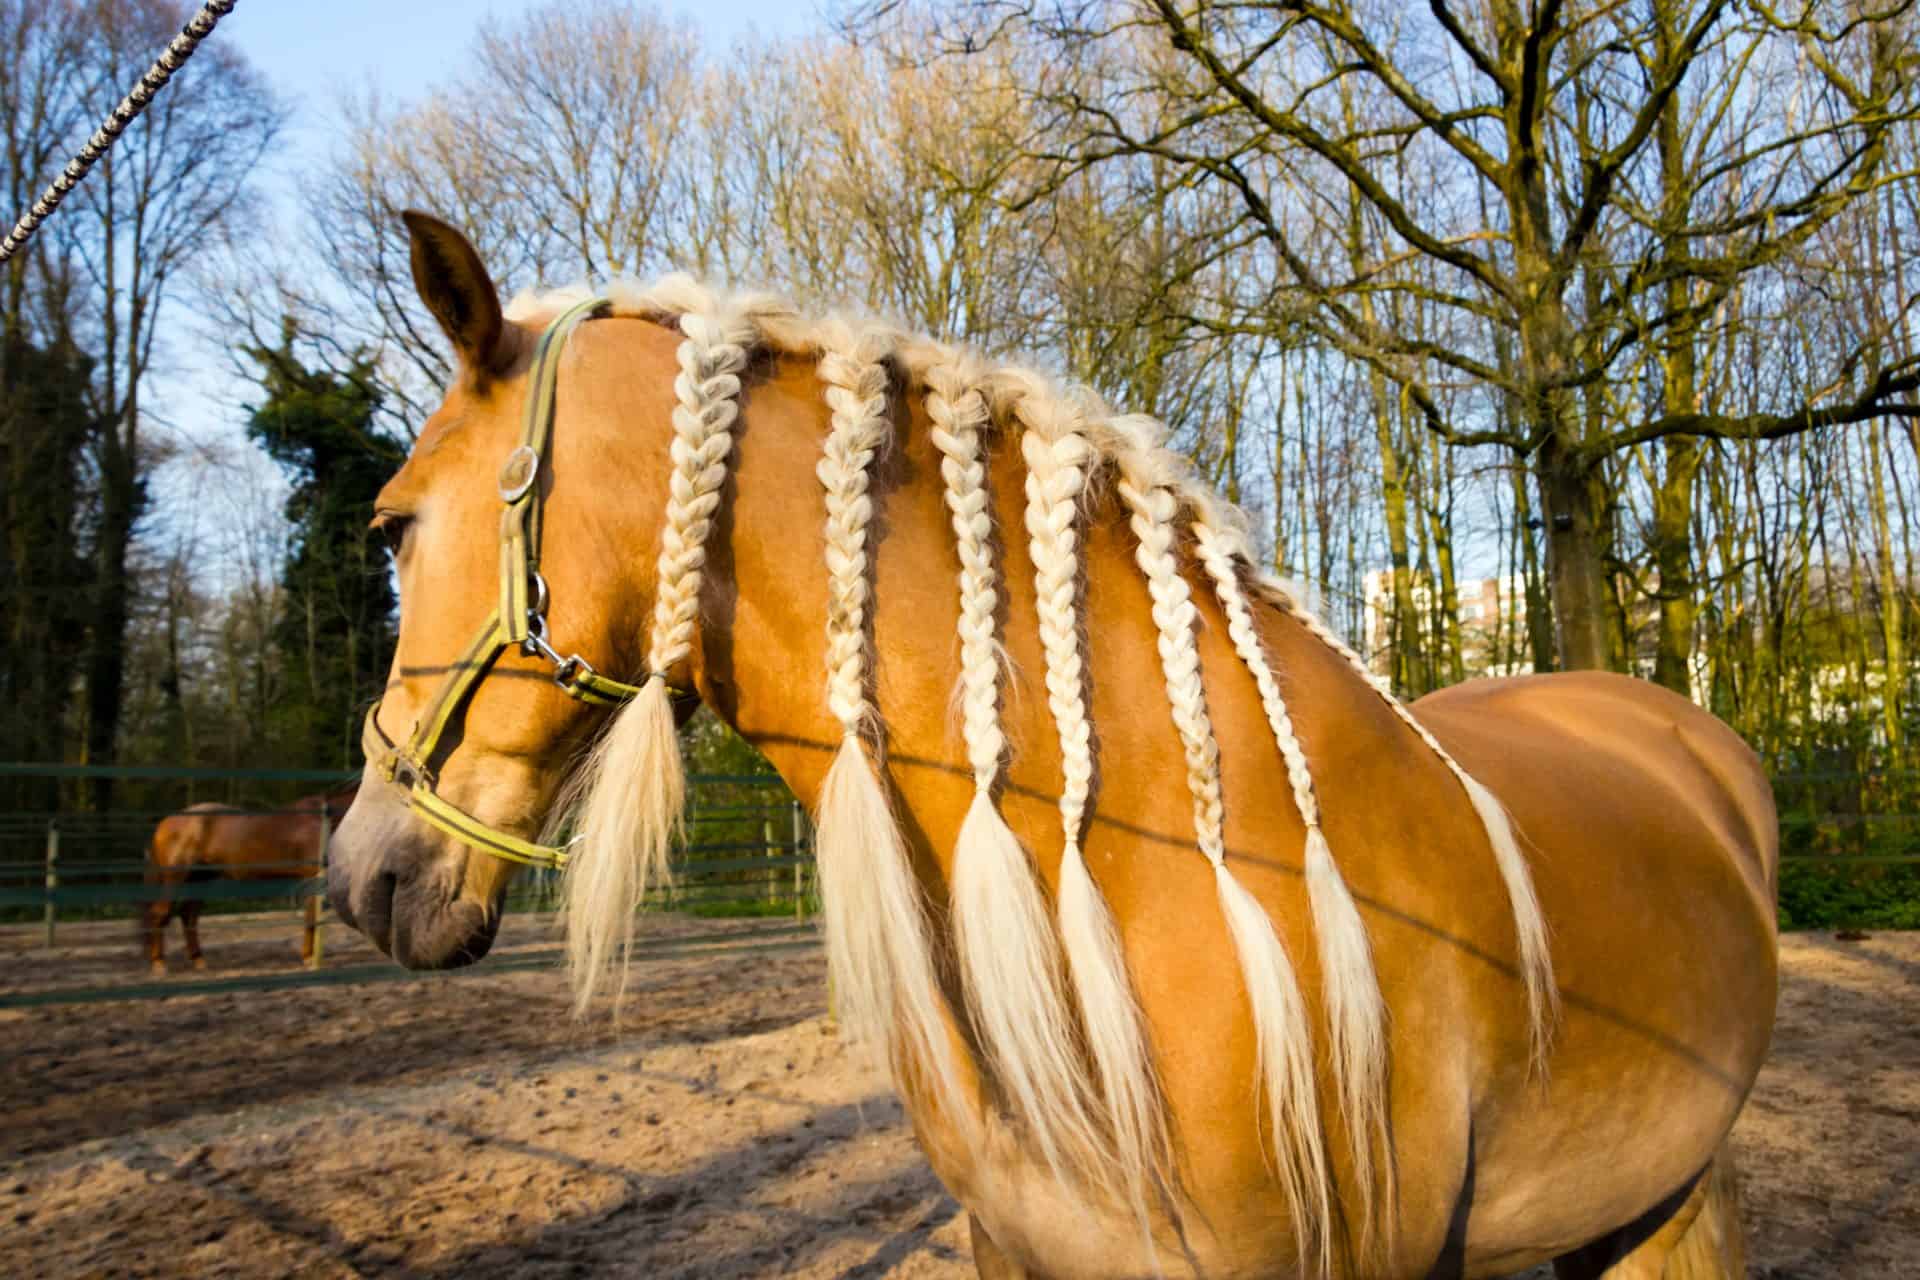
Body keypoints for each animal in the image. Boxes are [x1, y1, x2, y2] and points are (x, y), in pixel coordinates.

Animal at [144, 787, 353, 974]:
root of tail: (166, 822)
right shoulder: (312, 880)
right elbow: (311, 920)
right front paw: (308, 959)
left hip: (200, 879)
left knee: (189, 916)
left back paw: (198, 960)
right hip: (176, 878)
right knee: (160, 913)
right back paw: (159, 964)